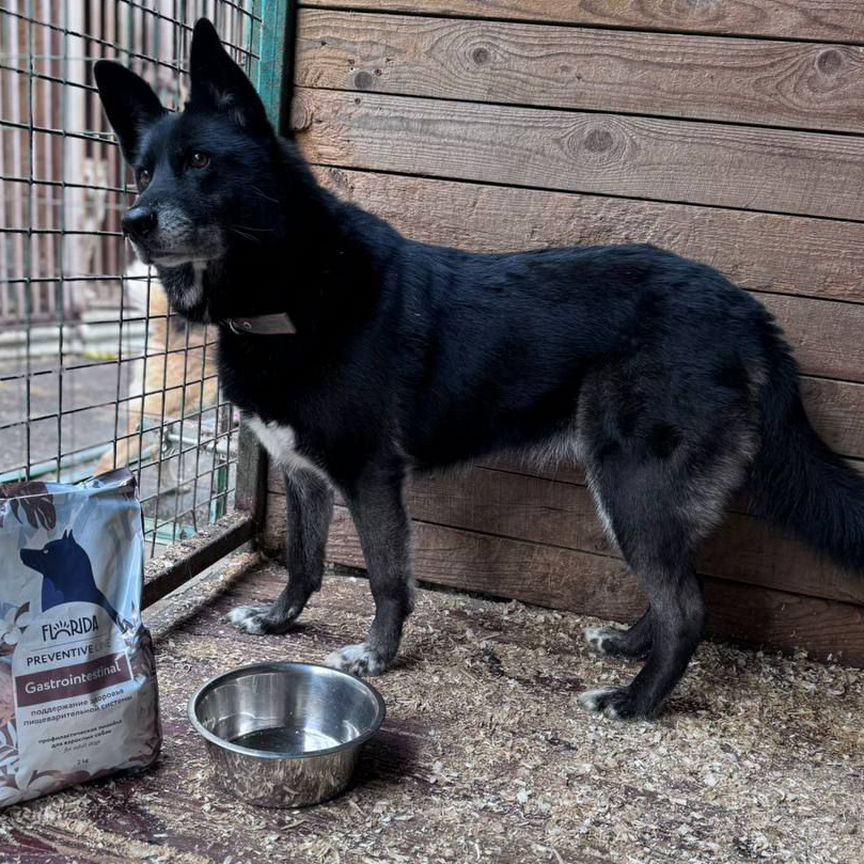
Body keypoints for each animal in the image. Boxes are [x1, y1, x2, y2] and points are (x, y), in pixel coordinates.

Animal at [94, 22, 864, 724]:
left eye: (199, 160)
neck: (290, 292)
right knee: (677, 590)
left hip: (630, 483)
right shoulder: (302, 472)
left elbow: (386, 578)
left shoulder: (370, 478)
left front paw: (377, 656)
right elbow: (305, 561)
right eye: (143, 171)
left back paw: (635, 700)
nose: (133, 222)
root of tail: (746, 311)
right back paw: (626, 647)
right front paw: (282, 620)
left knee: (688, 607)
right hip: (651, 495)